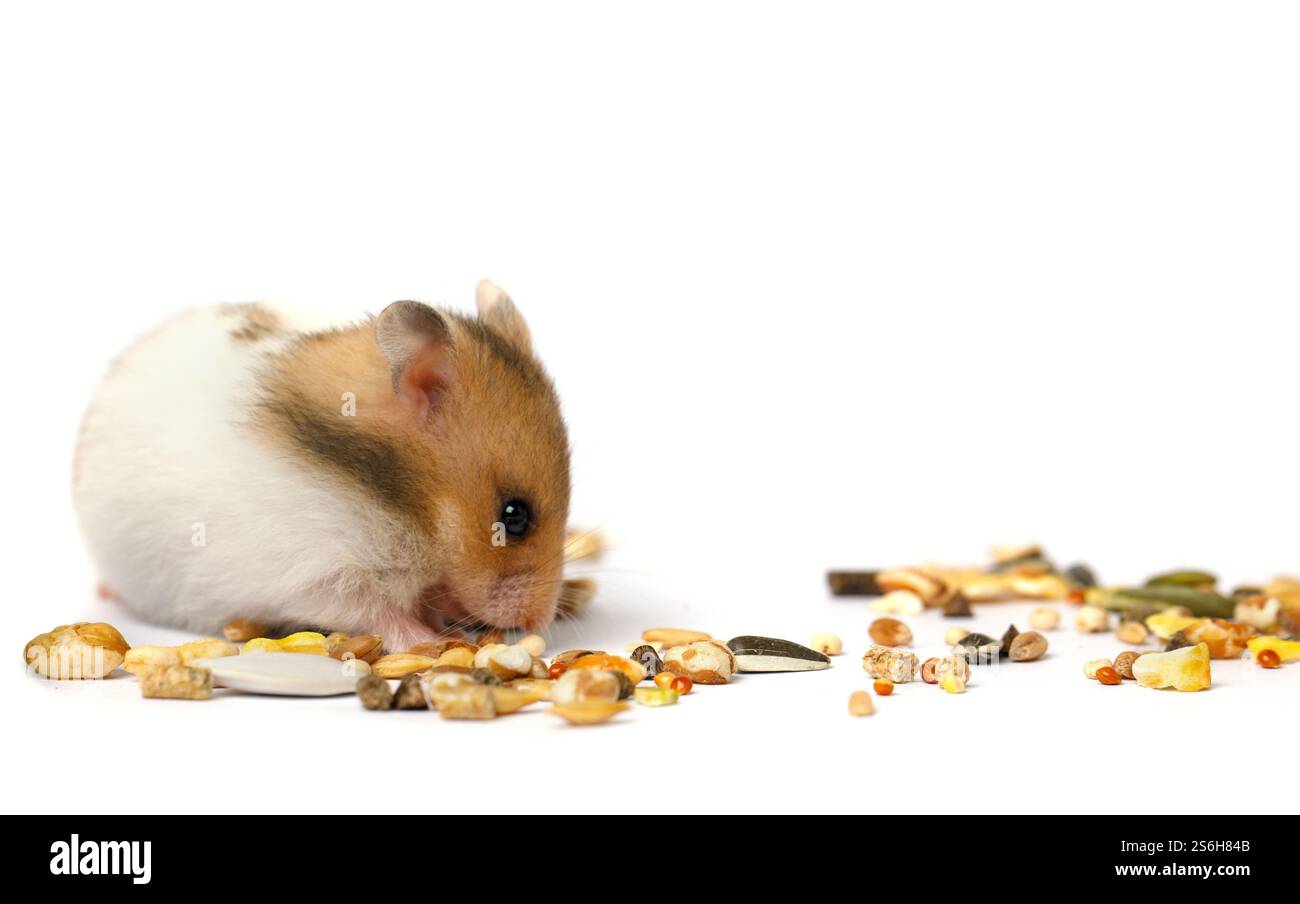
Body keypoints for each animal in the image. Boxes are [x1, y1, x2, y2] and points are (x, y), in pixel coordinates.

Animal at [73, 280, 571, 650]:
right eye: (514, 516)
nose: (537, 622)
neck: (392, 502)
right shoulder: (316, 572)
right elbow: (374, 608)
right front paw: (431, 642)